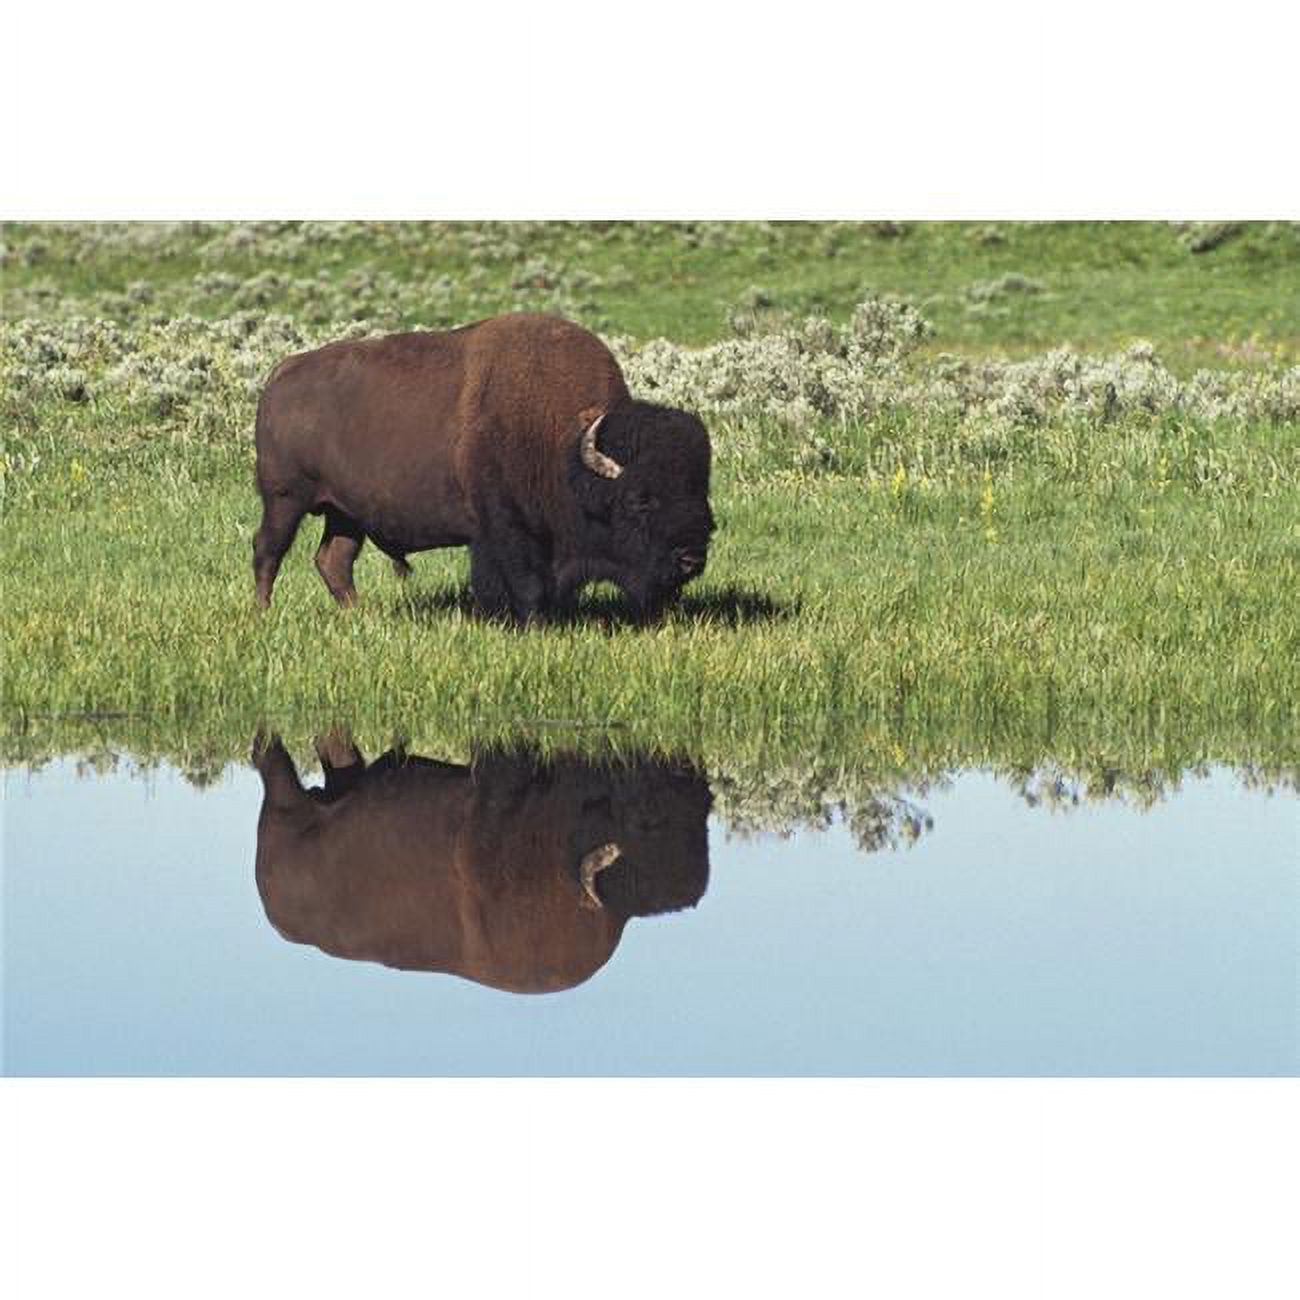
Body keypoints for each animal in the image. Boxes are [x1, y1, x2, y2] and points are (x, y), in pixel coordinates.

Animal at [252, 312, 715, 621]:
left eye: (700, 490)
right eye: (639, 500)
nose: (692, 558)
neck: (563, 443)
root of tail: (281, 373)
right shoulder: (504, 530)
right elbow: (524, 585)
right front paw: (531, 624)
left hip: (346, 514)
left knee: (334, 561)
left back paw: (360, 615)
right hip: (285, 500)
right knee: (268, 550)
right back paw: (263, 613)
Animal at [252, 734, 712, 993]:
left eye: (703, 811)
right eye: (646, 820)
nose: (691, 773)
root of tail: (275, 912)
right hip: (285, 797)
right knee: (267, 757)